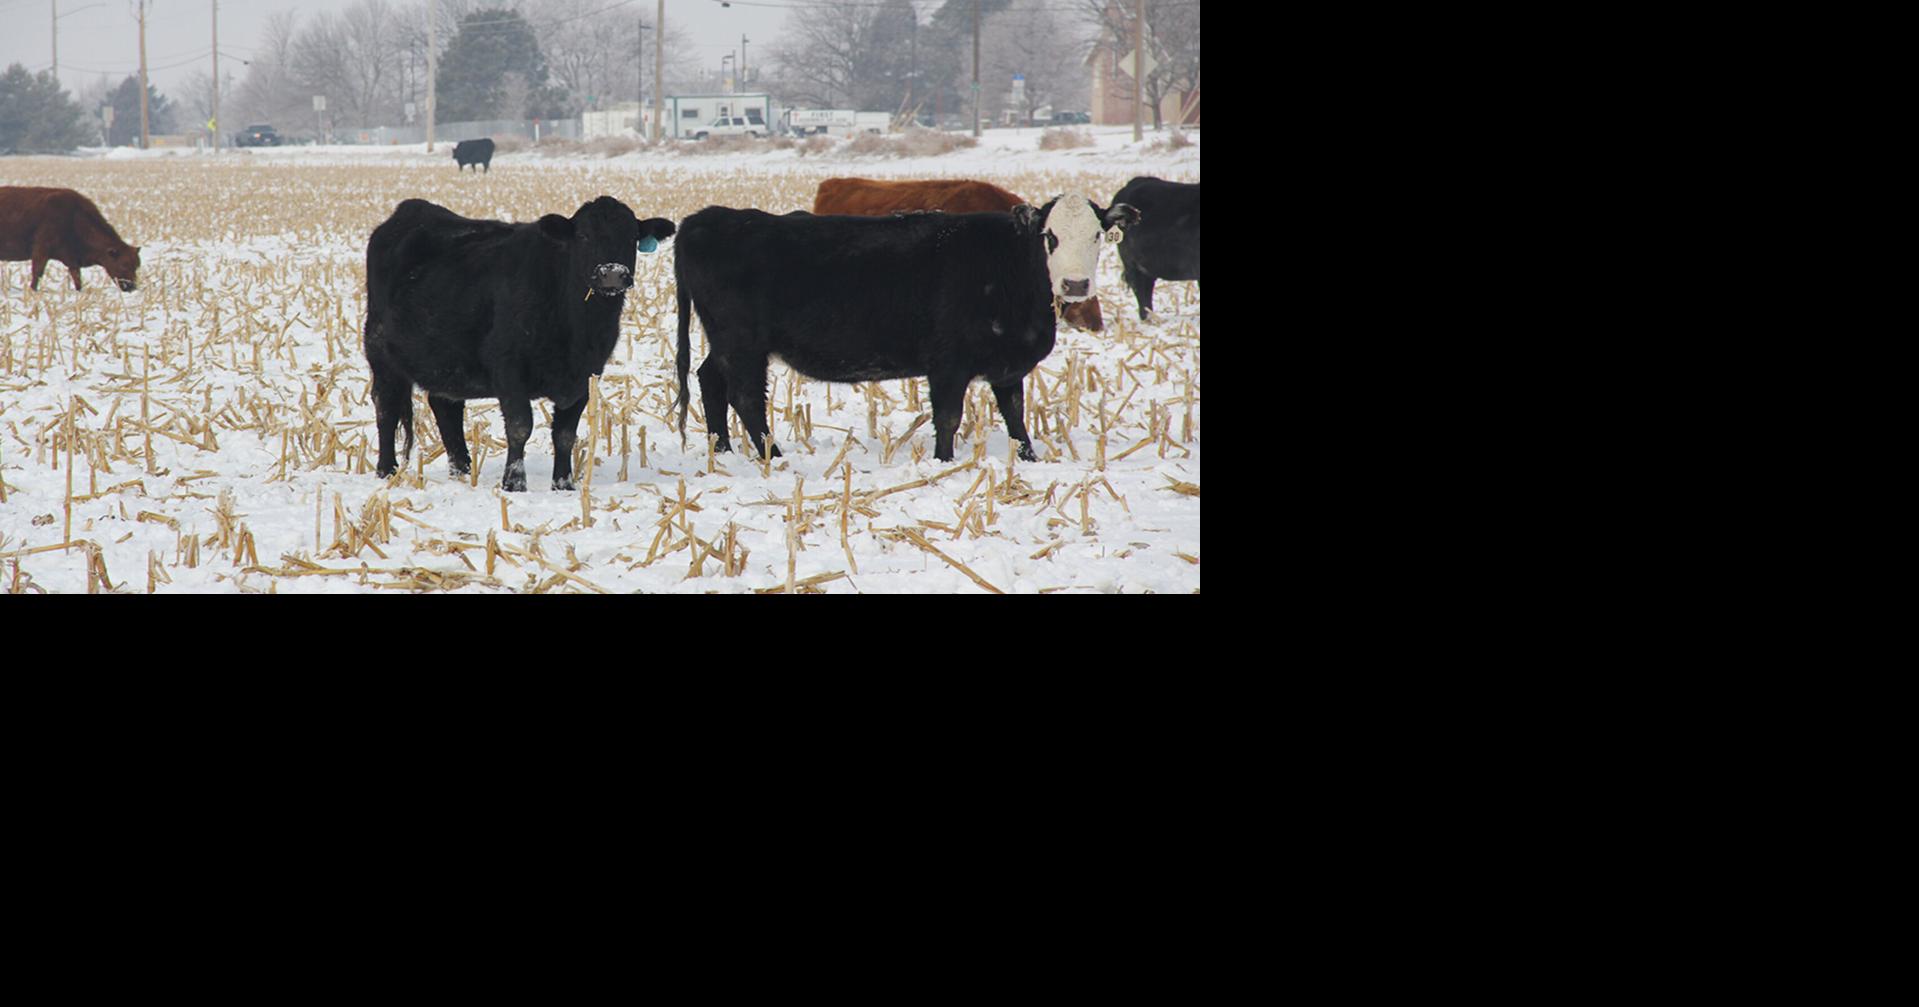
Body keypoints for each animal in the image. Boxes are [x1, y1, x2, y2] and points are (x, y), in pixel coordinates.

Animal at [0, 186, 142, 292]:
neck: (74, 217)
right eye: (123, 264)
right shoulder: (41, 251)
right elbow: (37, 273)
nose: (132, 287)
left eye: (137, 266)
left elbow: (77, 278)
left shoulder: (72, 260)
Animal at [363, 196, 676, 491]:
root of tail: (410, 209)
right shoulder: (507, 367)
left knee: (445, 408)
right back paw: (387, 470)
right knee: (386, 407)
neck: (578, 330)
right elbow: (519, 426)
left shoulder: (587, 374)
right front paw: (514, 483)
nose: (611, 273)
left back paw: (462, 470)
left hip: (444, 358)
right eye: (584, 235)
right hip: (380, 352)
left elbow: (565, 434)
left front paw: (563, 484)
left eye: (631, 236)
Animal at [673, 192, 1137, 464]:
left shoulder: (1007, 366)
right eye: (1050, 236)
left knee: (710, 379)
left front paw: (1028, 459)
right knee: (746, 397)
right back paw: (775, 457)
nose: (1075, 284)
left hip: (726, 342)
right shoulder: (948, 362)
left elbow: (1015, 414)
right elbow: (948, 417)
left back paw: (722, 450)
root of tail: (704, 218)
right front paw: (943, 463)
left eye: (1098, 235)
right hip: (742, 343)